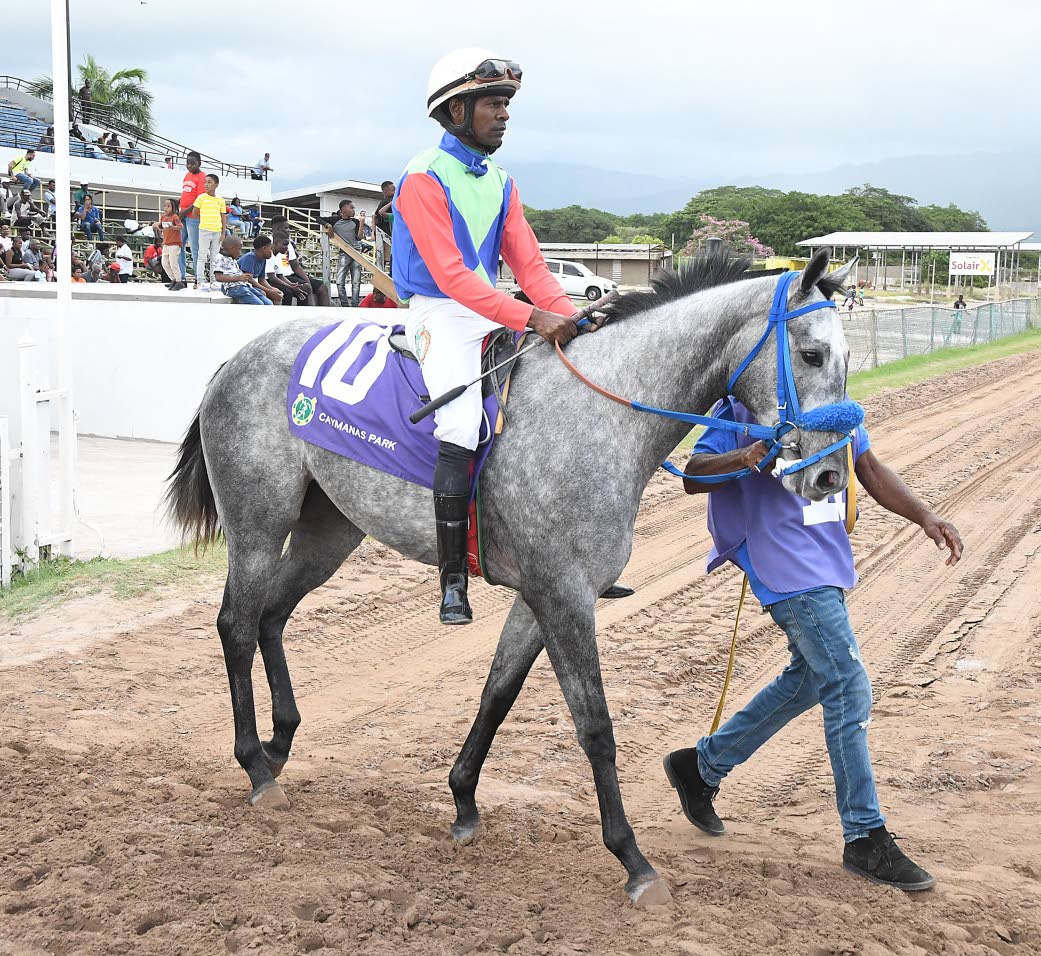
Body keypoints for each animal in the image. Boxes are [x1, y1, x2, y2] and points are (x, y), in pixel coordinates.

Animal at [166, 245, 855, 907]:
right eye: (812, 353)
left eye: (848, 358)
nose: (828, 475)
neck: (600, 415)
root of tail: (238, 357)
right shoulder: (564, 595)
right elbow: (595, 726)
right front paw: (633, 860)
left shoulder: (539, 596)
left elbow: (497, 694)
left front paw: (464, 799)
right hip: (258, 521)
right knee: (236, 623)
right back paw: (256, 766)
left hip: (328, 531)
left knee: (272, 616)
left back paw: (280, 744)